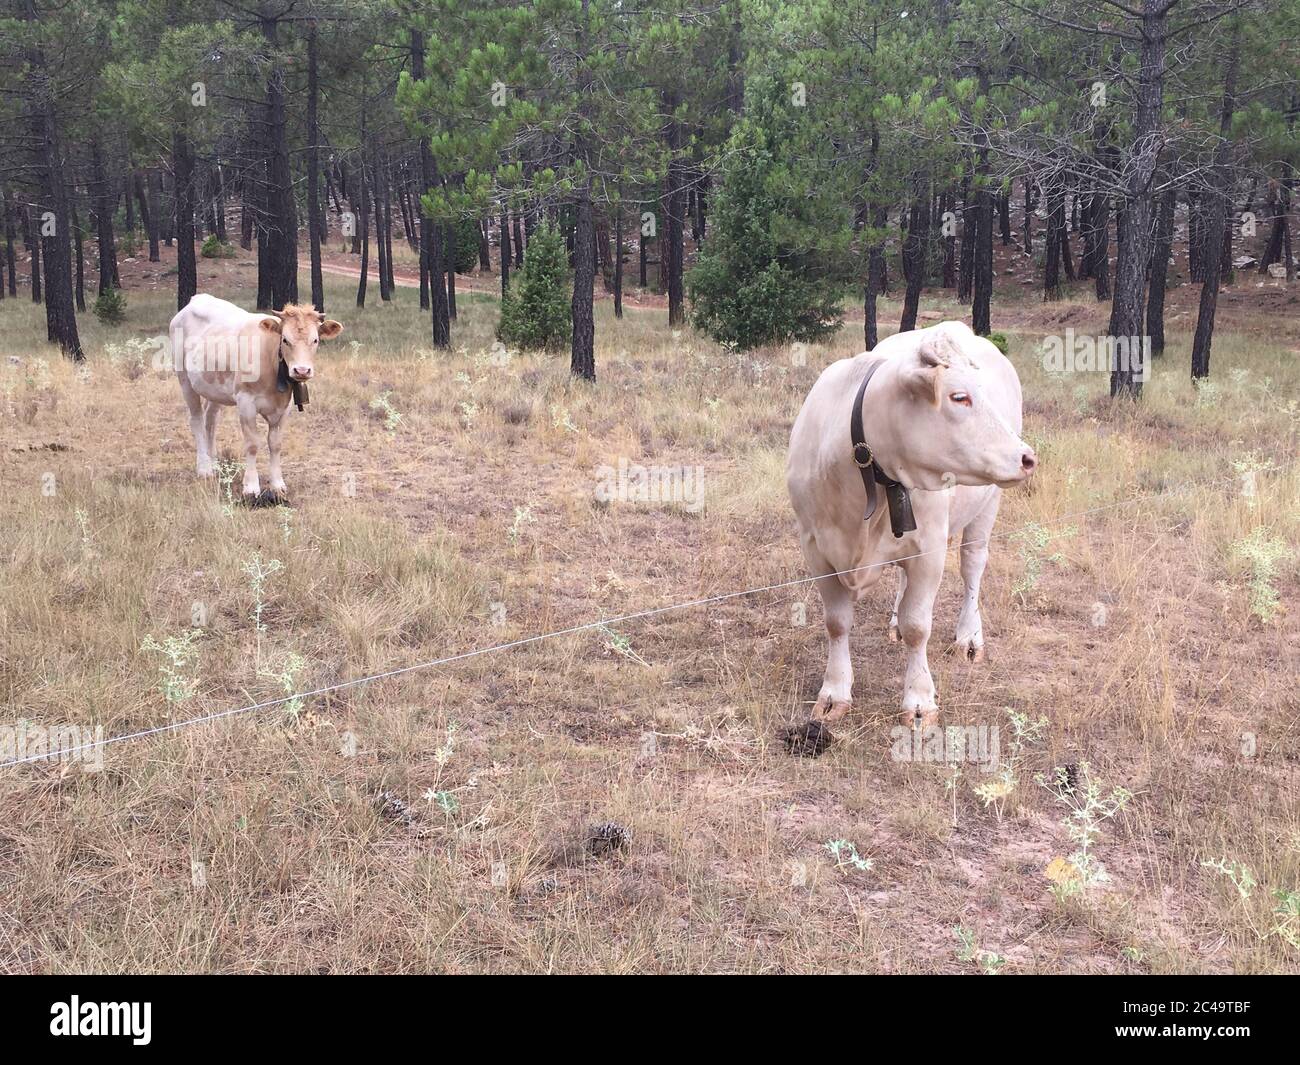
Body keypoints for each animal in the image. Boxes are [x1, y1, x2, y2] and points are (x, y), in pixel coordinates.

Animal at [169, 295, 342, 500]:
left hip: (214, 388)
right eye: (285, 340)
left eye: (315, 340)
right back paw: (204, 468)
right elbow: (252, 444)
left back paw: (214, 463)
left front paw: (278, 485)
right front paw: (251, 487)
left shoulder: (284, 408)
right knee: (196, 420)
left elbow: (275, 444)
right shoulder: (246, 402)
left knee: (210, 421)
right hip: (184, 379)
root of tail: (195, 300)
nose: (301, 370)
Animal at [786, 321, 1036, 729]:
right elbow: (837, 622)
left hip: (987, 506)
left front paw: (919, 700)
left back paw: (970, 637)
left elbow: (919, 626)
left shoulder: (929, 551)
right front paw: (834, 692)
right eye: (959, 397)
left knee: (973, 567)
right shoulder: (816, 549)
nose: (1028, 457)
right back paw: (894, 624)